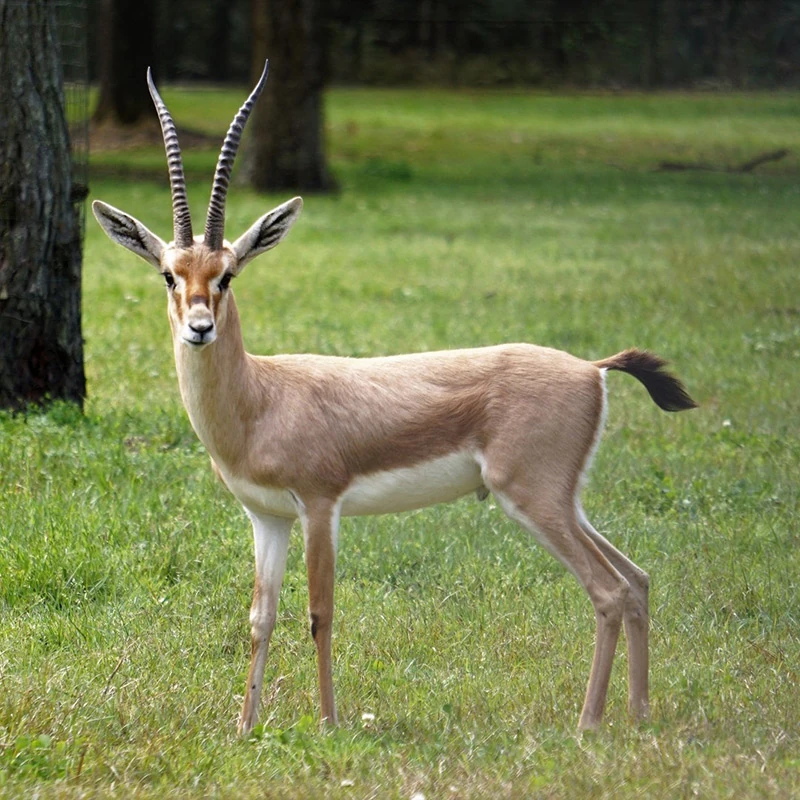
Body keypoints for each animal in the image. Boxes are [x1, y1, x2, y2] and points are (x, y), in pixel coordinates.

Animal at [92, 62, 697, 736]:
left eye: (227, 274)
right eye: (169, 274)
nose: (199, 327)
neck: (261, 400)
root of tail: (592, 369)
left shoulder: (320, 507)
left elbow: (320, 613)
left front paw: (328, 726)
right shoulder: (268, 518)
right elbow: (260, 618)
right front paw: (244, 729)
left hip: (533, 499)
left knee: (608, 591)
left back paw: (588, 725)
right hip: (566, 502)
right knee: (638, 579)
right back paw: (639, 716)